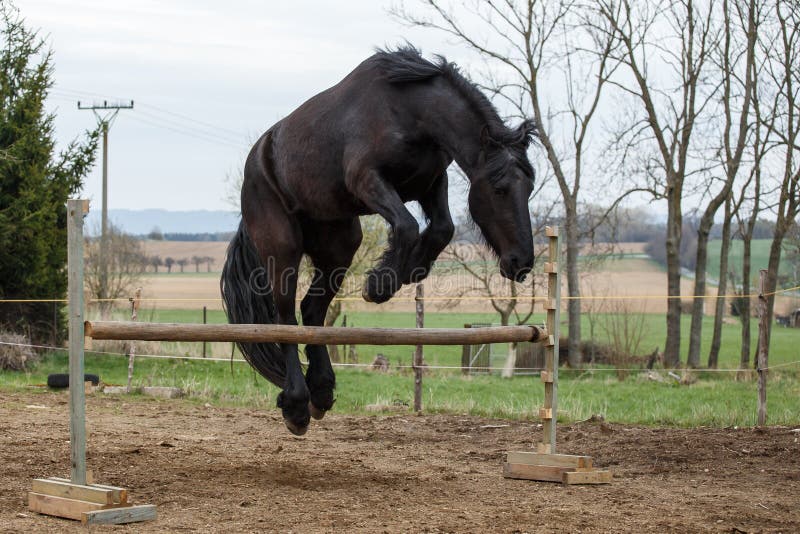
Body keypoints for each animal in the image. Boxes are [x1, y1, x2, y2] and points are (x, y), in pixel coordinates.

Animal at [221, 46, 537, 435]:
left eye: (530, 187)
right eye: (499, 188)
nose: (521, 261)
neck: (410, 113)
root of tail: (258, 159)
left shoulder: (431, 182)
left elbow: (442, 228)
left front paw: (409, 270)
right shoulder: (367, 179)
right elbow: (406, 225)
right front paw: (380, 285)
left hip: (339, 245)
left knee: (312, 310)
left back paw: (321, 392)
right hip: (282, 248)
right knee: (284, 317)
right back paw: (296, 405)